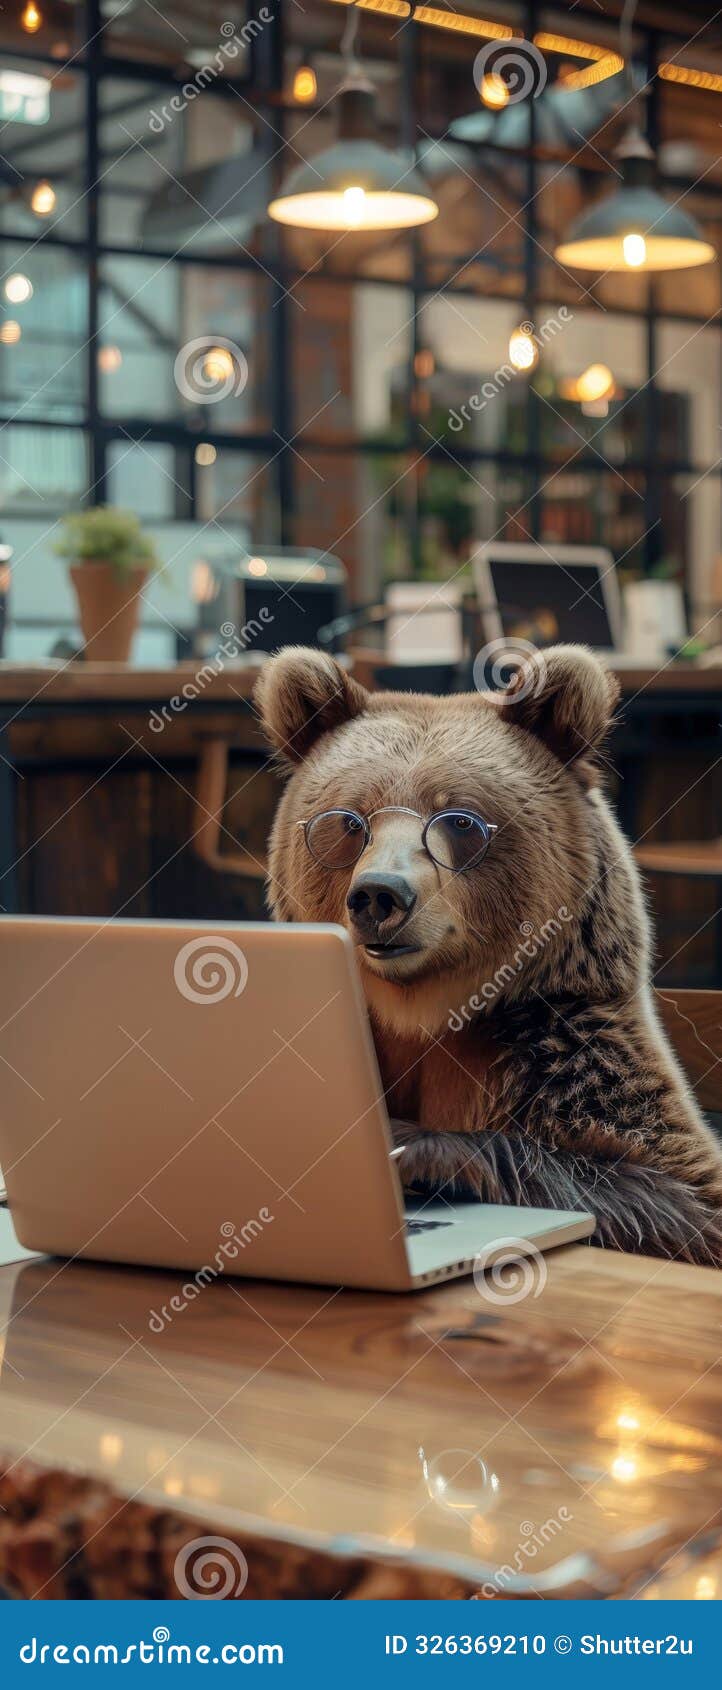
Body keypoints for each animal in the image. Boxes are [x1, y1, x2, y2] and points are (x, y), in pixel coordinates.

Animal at [255, 642, 722, 1266]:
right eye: (350, 820)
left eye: (458, 820)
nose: (379, 894)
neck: (422, 1013)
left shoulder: (557, 1044)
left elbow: (675, 1194)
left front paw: (406, 1142)